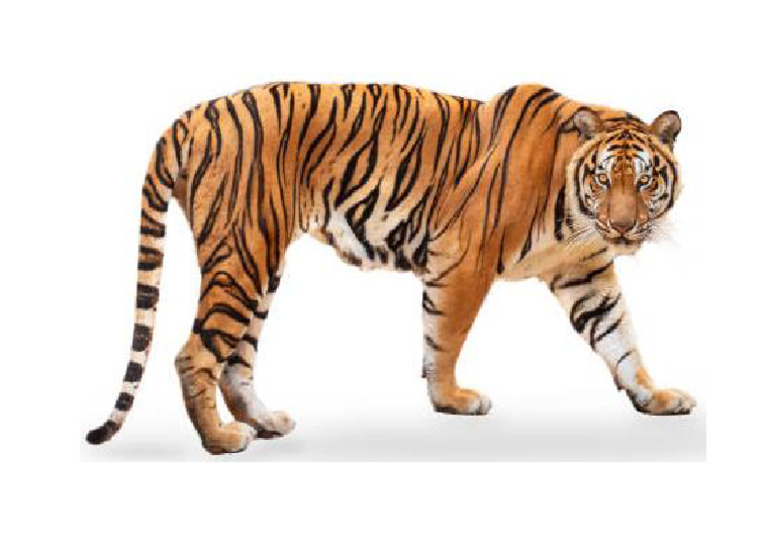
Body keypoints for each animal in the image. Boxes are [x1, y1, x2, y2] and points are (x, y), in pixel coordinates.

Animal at [86, 82, 695, 455]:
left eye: (645, 181)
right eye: (604, 179)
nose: (624, 227)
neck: (575, 214)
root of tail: (191, 116)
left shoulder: (586, 275)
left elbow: (621, 340)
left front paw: (656, 397)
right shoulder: (461, 262)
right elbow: (444, 338)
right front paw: (453, 400)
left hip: (259, 265)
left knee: (235, 359)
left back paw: (266, 424)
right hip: (242, 255)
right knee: (194, 354)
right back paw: (221, 440)